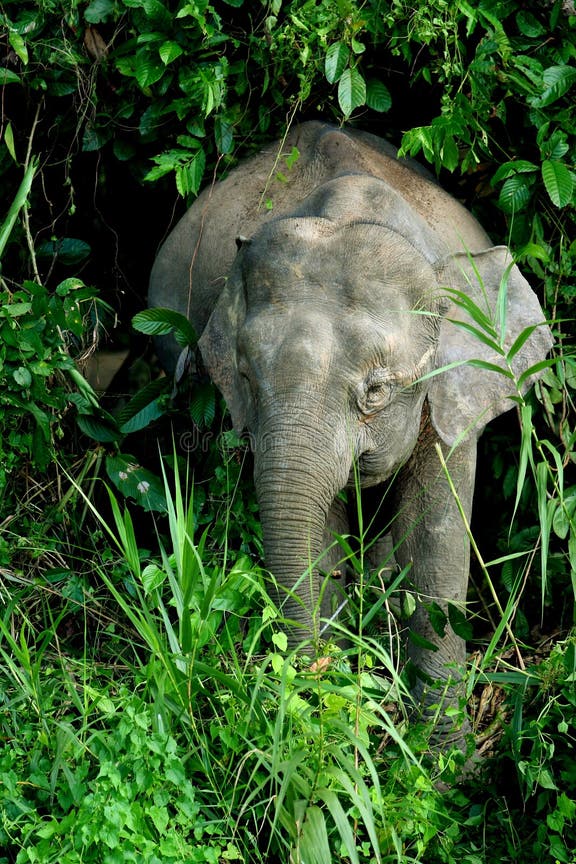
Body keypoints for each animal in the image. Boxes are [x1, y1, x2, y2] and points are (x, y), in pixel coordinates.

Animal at [149, 121, 552, 739]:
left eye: (377, 390)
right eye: (243, 378)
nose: (309, 676)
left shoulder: (453, 387)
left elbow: (434, 539)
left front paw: (442, 754)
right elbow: (317, 537)